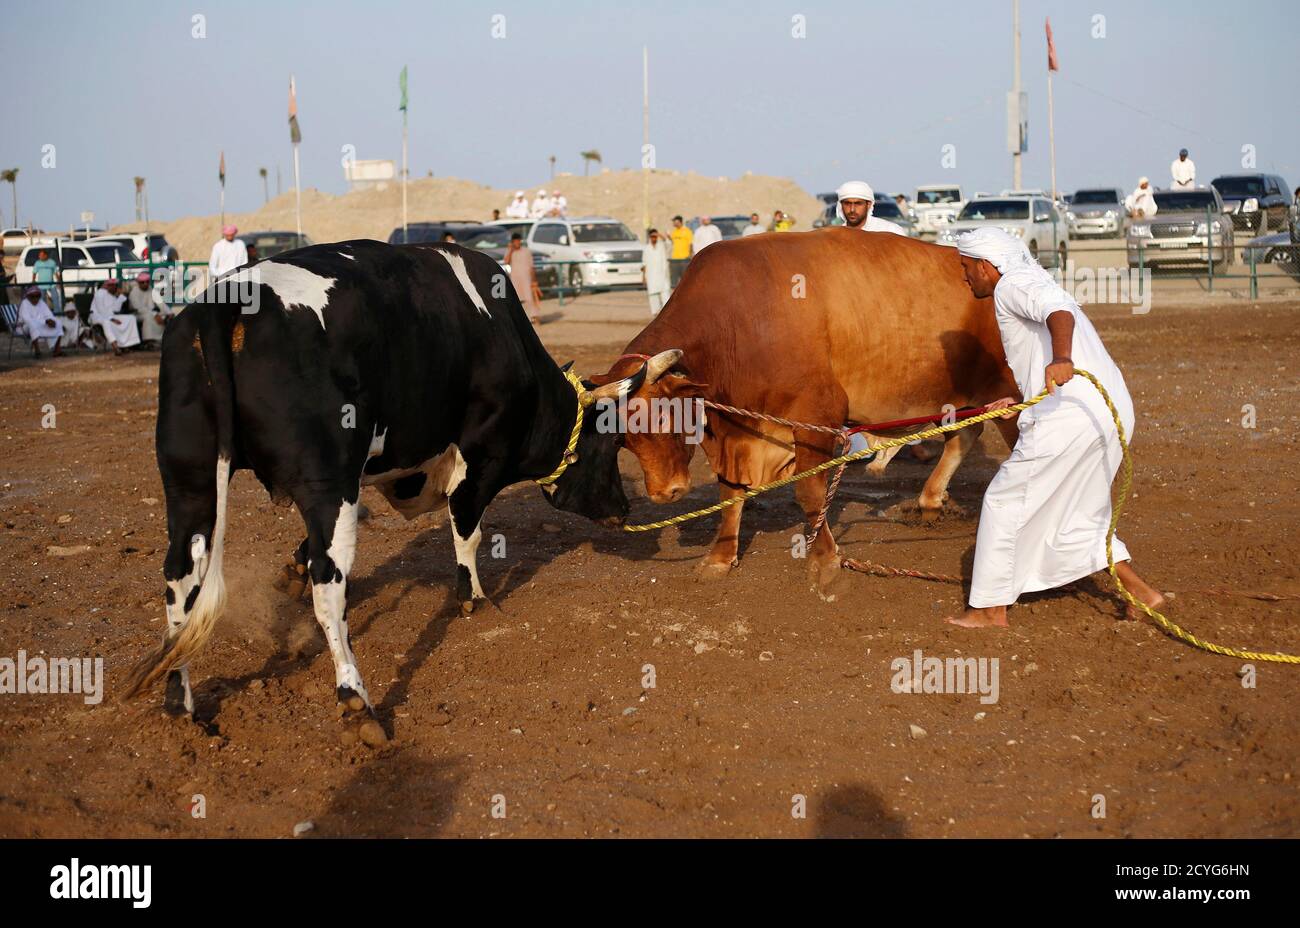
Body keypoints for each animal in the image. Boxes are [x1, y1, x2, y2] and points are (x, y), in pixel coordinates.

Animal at [122, 238, 682, 729]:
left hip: (191, 481)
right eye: (609, 445)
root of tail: (226, 305)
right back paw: (354, 696)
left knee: (180, 580)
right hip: (325, 481)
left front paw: (288, 571)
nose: (623, 509)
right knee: (330, 587)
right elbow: (468, 530)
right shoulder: (480, 456)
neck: (502, 335)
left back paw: (179, 697)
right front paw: (473, 596)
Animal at [588, 227, 1021, 597]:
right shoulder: (736, 433)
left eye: (663, 417)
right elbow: (730, 492)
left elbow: (810, 493)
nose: (666, 493)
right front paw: (719, 558)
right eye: (622, 438)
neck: (737, 325)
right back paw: (929, 501)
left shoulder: (817, 417)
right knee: (965, 434)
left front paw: (826, 563)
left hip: (1010, 393)